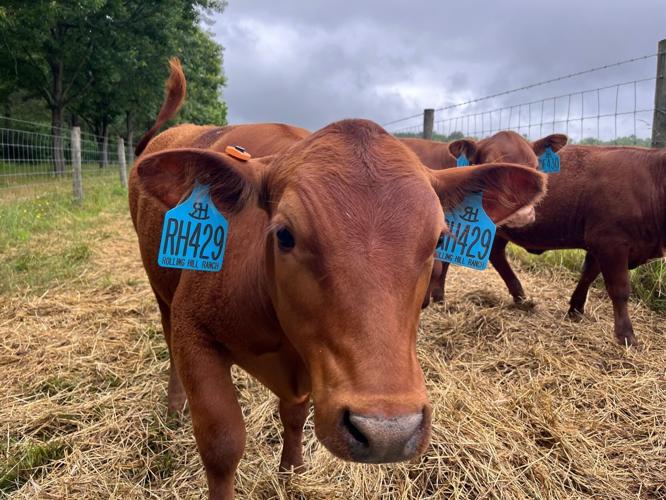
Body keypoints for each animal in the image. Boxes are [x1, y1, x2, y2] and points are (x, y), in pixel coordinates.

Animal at [129, 60, 547, 498]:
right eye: (285, 235)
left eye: (438, 239)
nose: (387, 432)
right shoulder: (194, 331)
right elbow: (222, 443)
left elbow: (294, 414)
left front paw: (292, 471)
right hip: (162, 293)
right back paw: (174, 406)